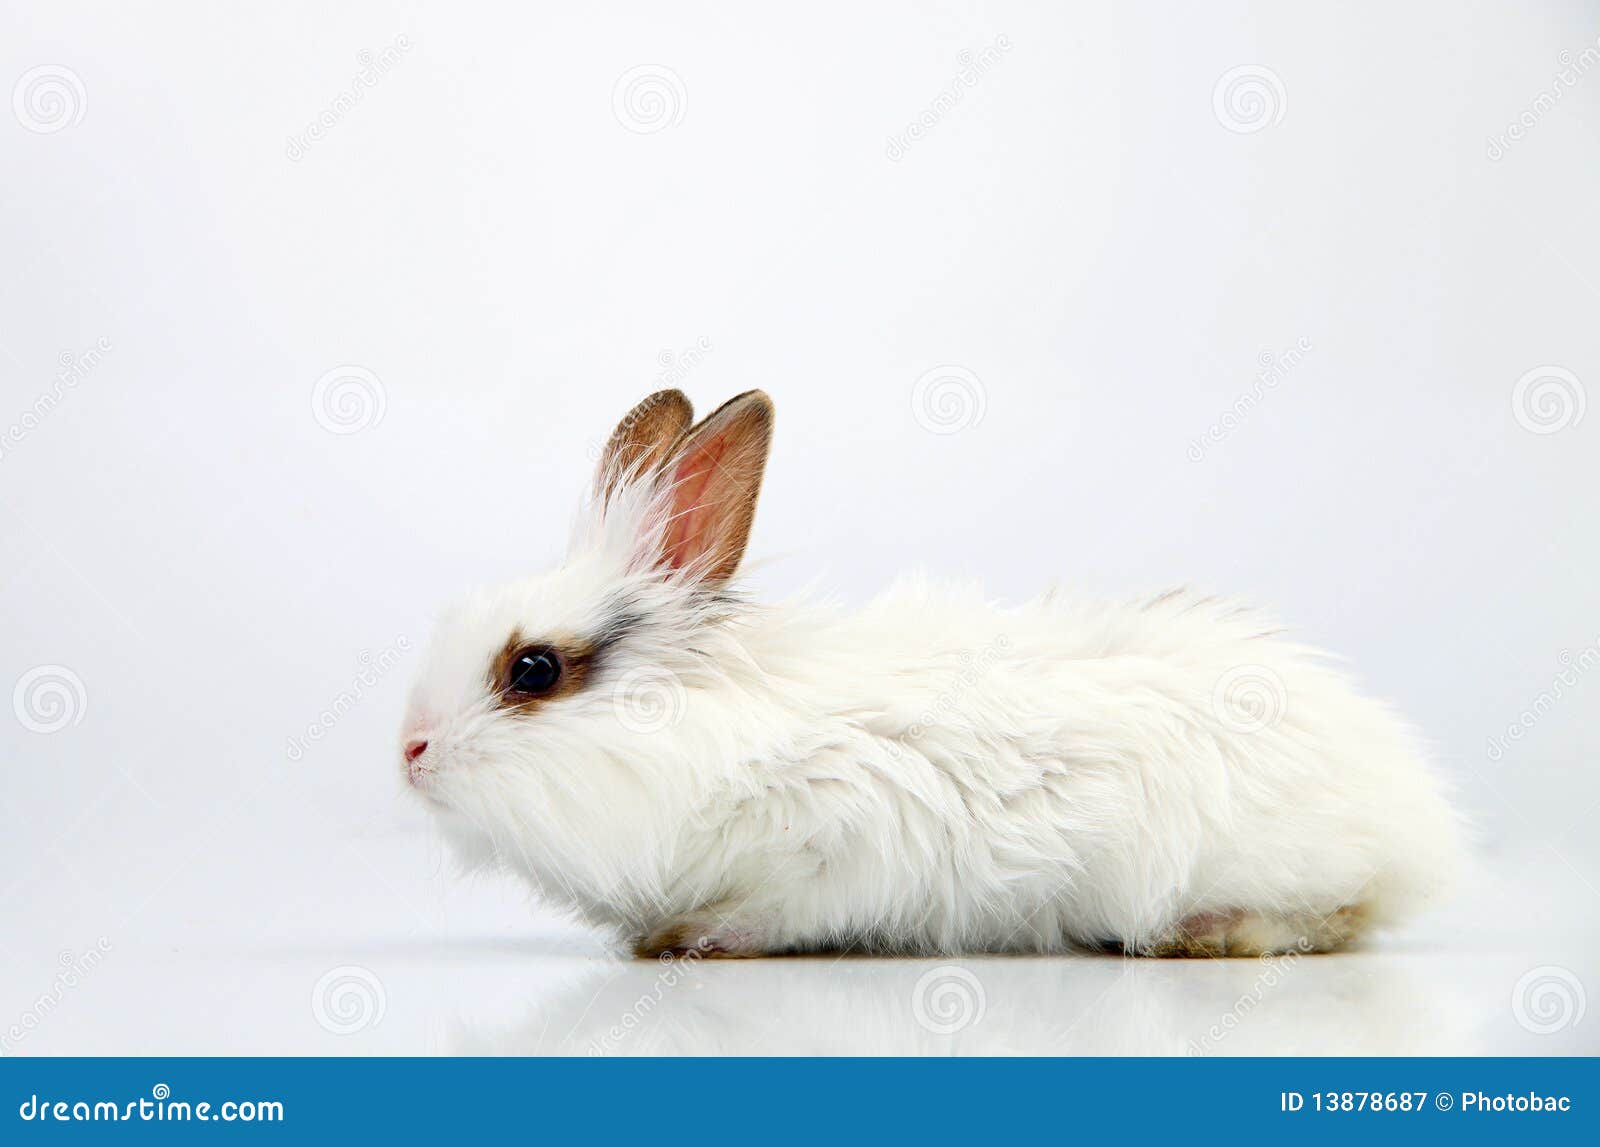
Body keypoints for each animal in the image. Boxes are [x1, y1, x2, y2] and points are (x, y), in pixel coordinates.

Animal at [401, 389, 1466, 958]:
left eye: (534, 669)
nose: (410, 752)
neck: (706, 741)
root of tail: (1419, 816)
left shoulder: (829, 851)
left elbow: (768, 913)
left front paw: (685, 942)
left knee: (1340, 913)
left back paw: (1207, 933)